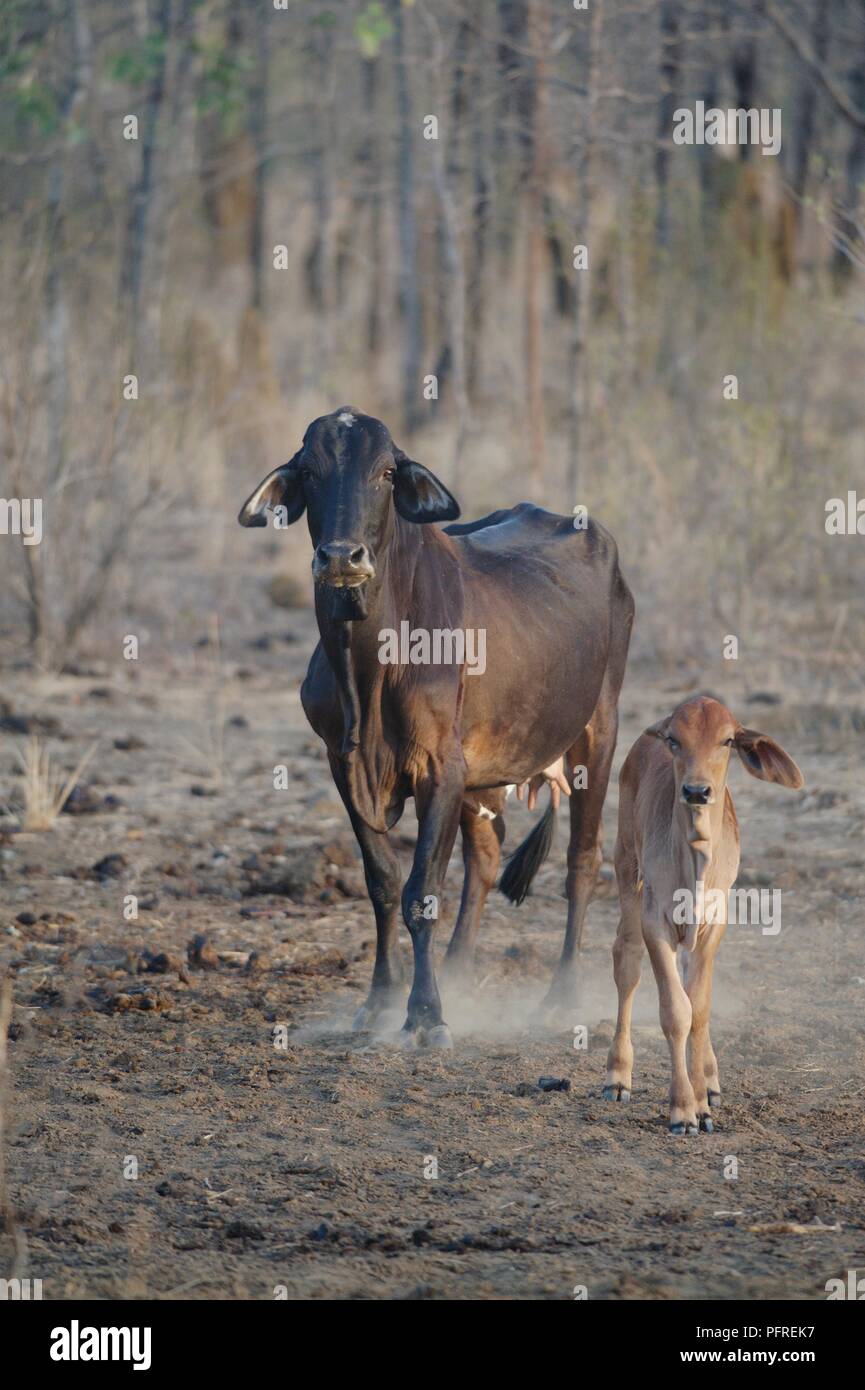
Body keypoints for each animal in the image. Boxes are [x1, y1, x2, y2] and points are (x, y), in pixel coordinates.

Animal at [239, 407, 634, 1048]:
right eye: (311, 471)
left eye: (385, 471)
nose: (342, 558)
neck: (367, 667)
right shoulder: (343, 765)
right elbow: (381, 882)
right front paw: (381, 1002)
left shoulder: (438, 769)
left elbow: (422, 889)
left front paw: (425, 1014)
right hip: (486, 773)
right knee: (487, 858)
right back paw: (459, 978)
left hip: (597, 731)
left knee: (583, 860)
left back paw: (560, 995)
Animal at [603, 696, 804, 1132]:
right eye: (674, 739)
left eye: (727, 740)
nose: (696, 790)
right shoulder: (655, 921)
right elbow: (676, 1011)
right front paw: (683, 1109)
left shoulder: (714, 923)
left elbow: (698, 1007)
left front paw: (701, 1101)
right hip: (626, 865)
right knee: (626, 961)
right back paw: (617, 1075)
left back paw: (709, 1081)